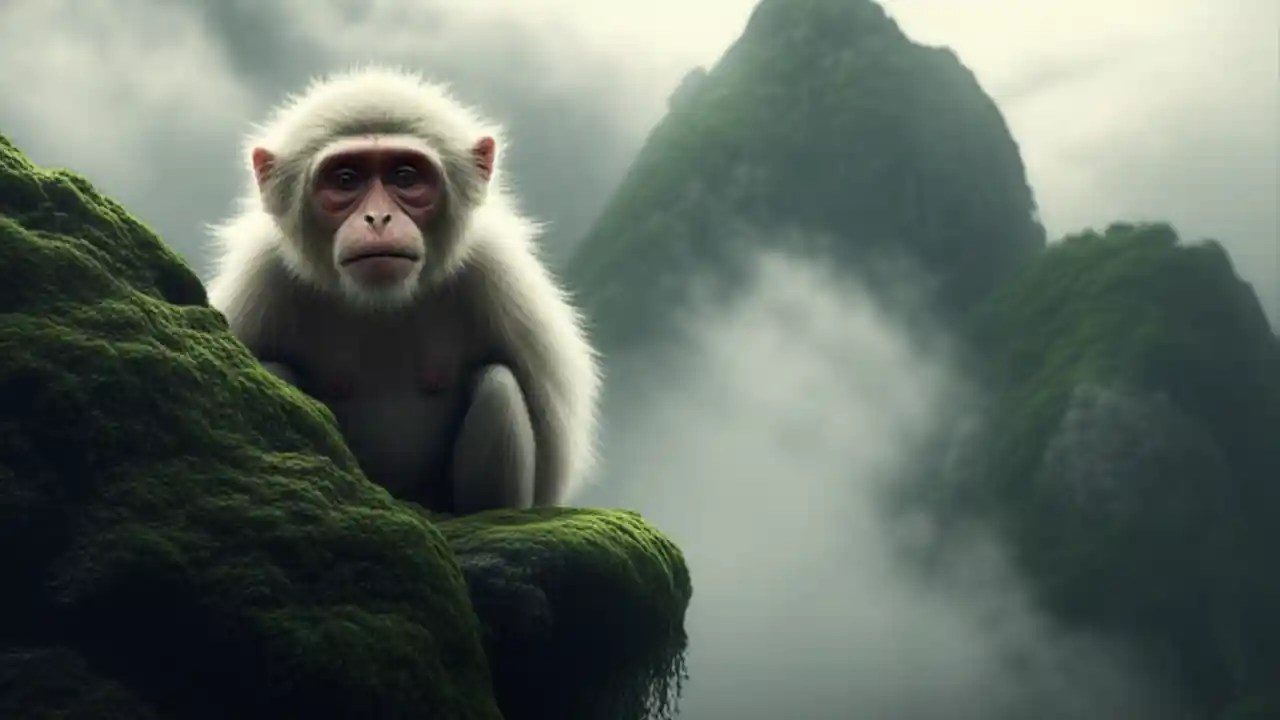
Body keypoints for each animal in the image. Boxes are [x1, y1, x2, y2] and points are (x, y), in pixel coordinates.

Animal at [204, 66, 601, 514]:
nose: (378, 218)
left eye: (405, 176)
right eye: (345, 179)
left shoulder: (499, 277)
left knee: (499, 387)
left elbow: (552, 467)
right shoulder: (259, 282)